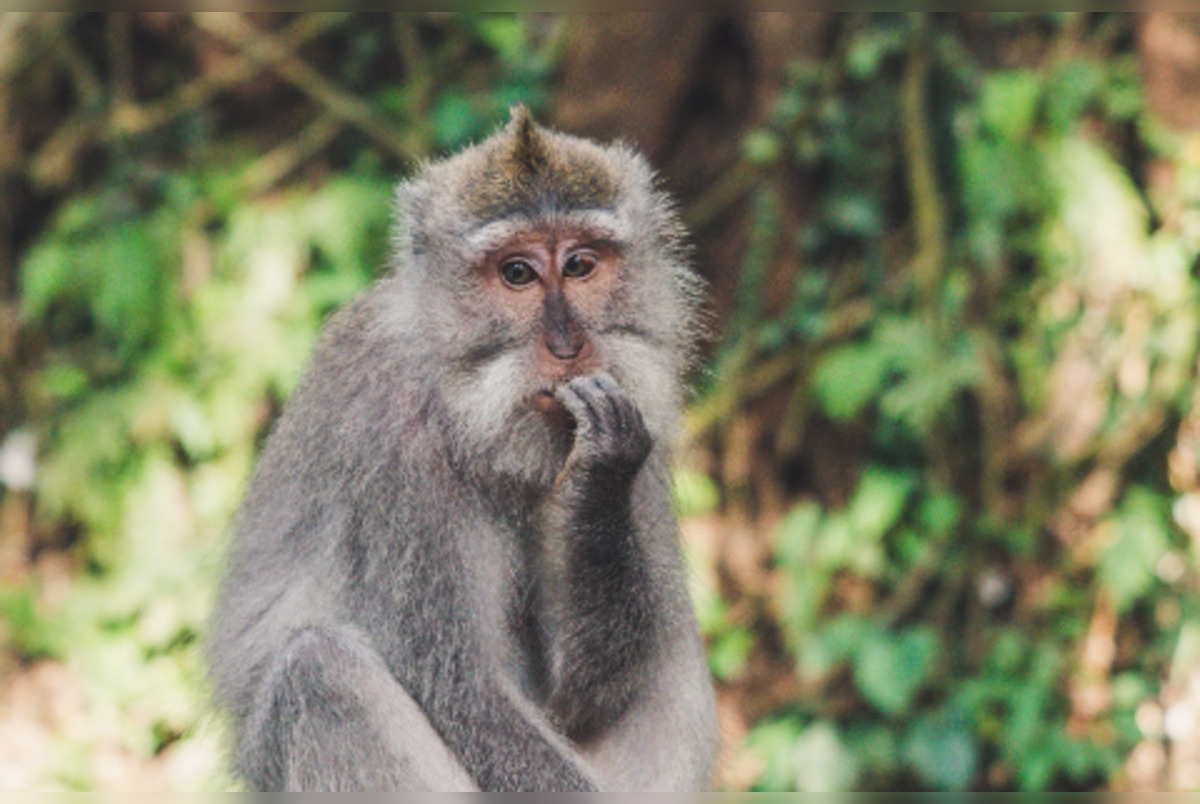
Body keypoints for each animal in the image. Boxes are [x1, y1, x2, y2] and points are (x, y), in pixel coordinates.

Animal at [207, 107, 718, 792]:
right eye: (517, 273)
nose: (567, 346)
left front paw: (600, 477)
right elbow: (465, 691)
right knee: (317, 669)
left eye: (580, 265)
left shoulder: (642, 408)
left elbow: (580, 694)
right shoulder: (394, 445)